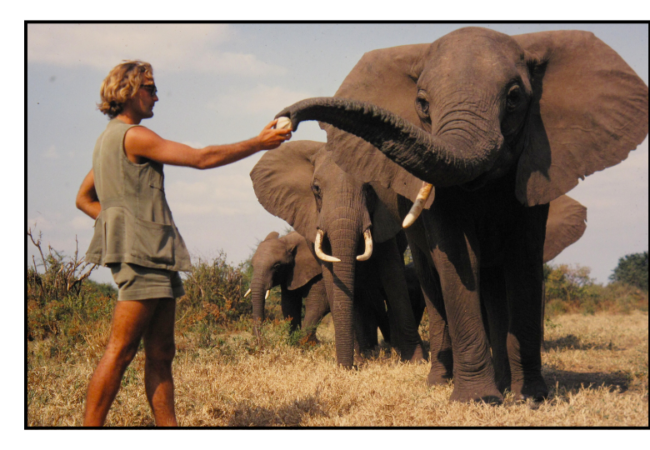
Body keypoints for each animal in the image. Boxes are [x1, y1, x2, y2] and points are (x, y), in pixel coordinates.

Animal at [250, 139, 426, 366]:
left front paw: (416, 360)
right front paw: (354, 361)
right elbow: (319, 286)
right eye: (316, 189)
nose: (259, 348)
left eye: (369, 188)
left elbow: (392, 277)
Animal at [275, 27, 648, 402]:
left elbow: (524, 257)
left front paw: (529, 398)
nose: (285, 119)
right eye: (422, 104)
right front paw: (479, 399)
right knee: (432, 280)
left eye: (514, 97)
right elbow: (457, 256)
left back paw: (504, 383)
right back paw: (441, 381)